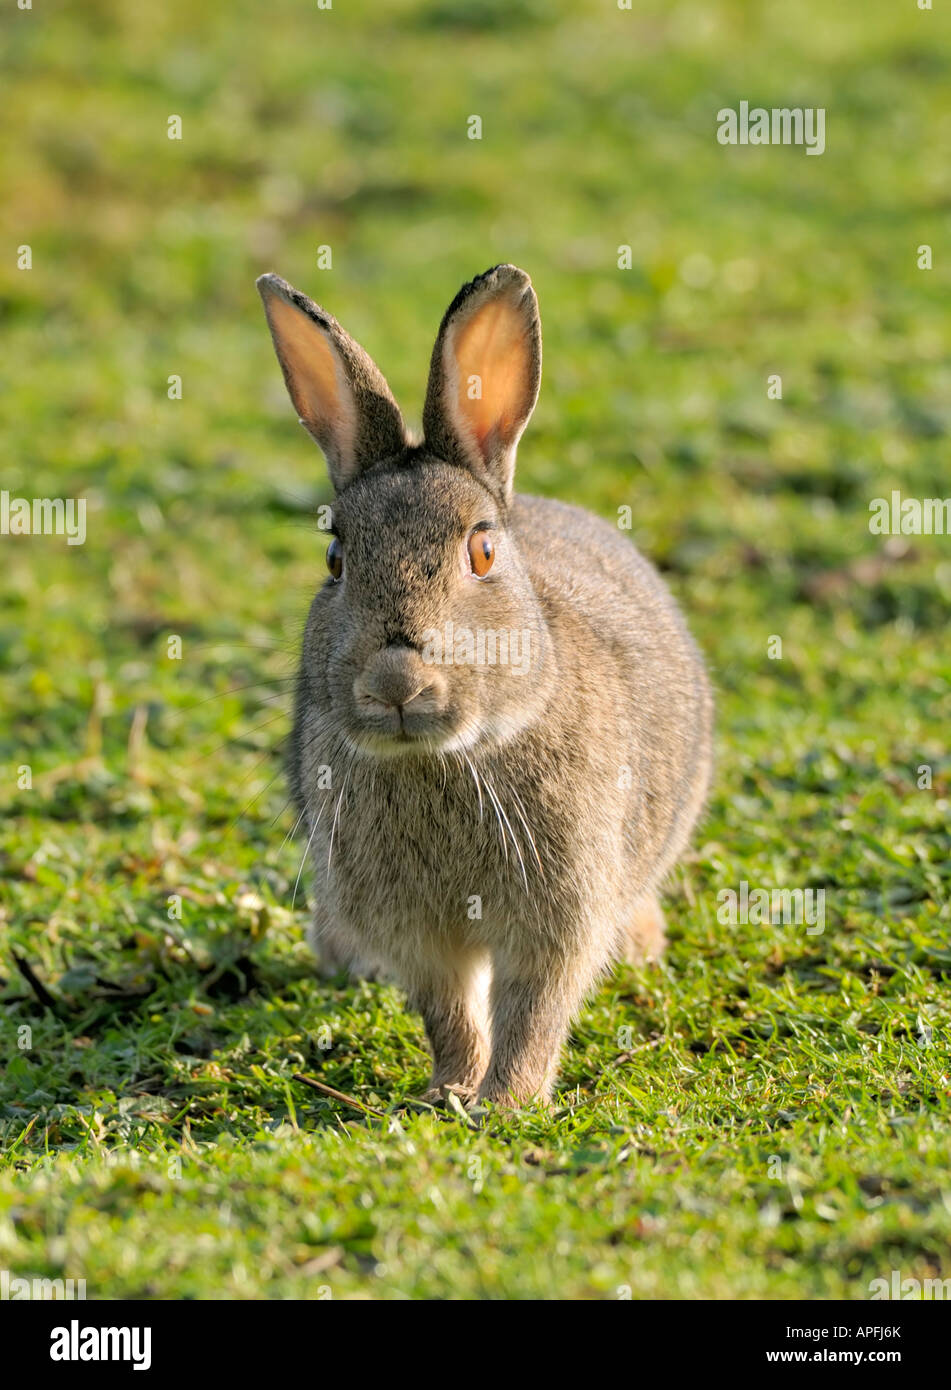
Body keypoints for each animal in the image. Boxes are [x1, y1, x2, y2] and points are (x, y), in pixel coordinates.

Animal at [257, 263, 713, 1107]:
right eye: (335, 558)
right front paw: (449, 1091)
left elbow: (533, 1007)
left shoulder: (557, 916)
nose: (395, 681)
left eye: (482, 552)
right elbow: (448, 1011)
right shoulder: (416, 934)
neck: (446, 757)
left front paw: (507, 1101)